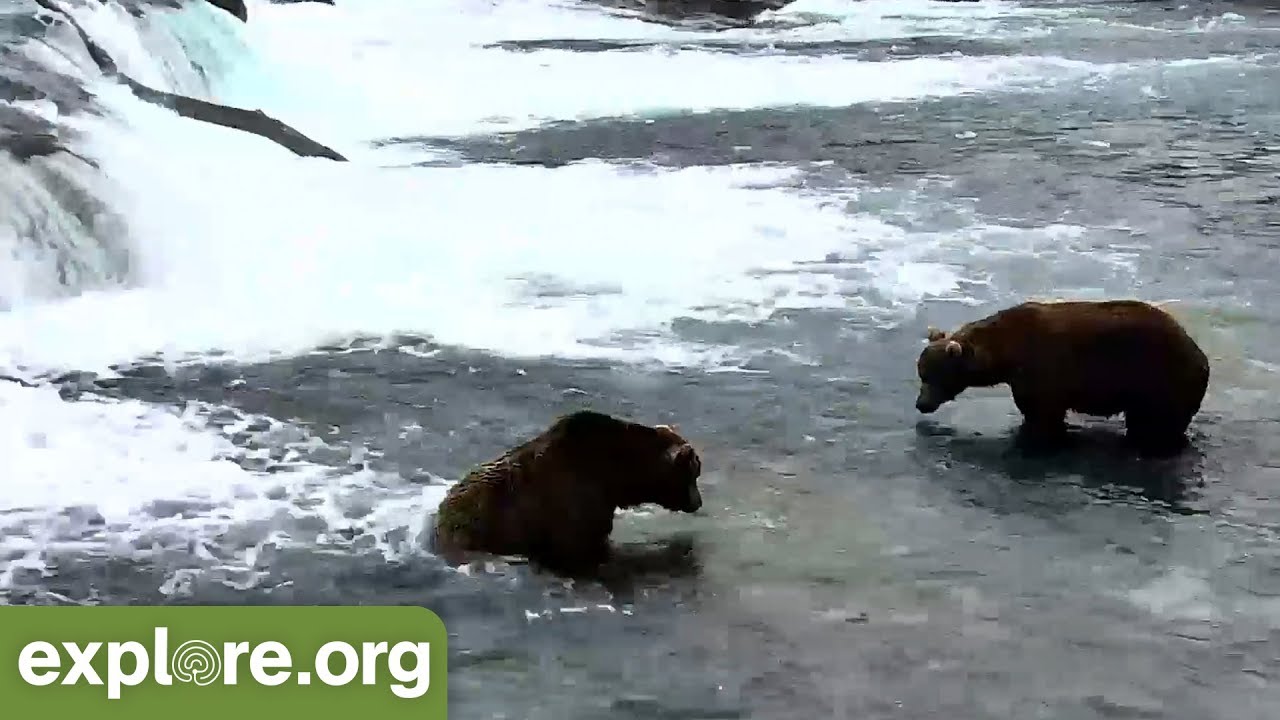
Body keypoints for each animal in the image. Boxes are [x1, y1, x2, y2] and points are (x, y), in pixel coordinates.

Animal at [914, 299, 1210, 457]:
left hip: (1160, 380)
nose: (921, 404)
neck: (1006, 352)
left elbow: (1043, 415)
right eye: (921, 372)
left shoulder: (1043, 370)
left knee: (1159, 426)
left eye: (931, 376)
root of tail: (1200, 353)